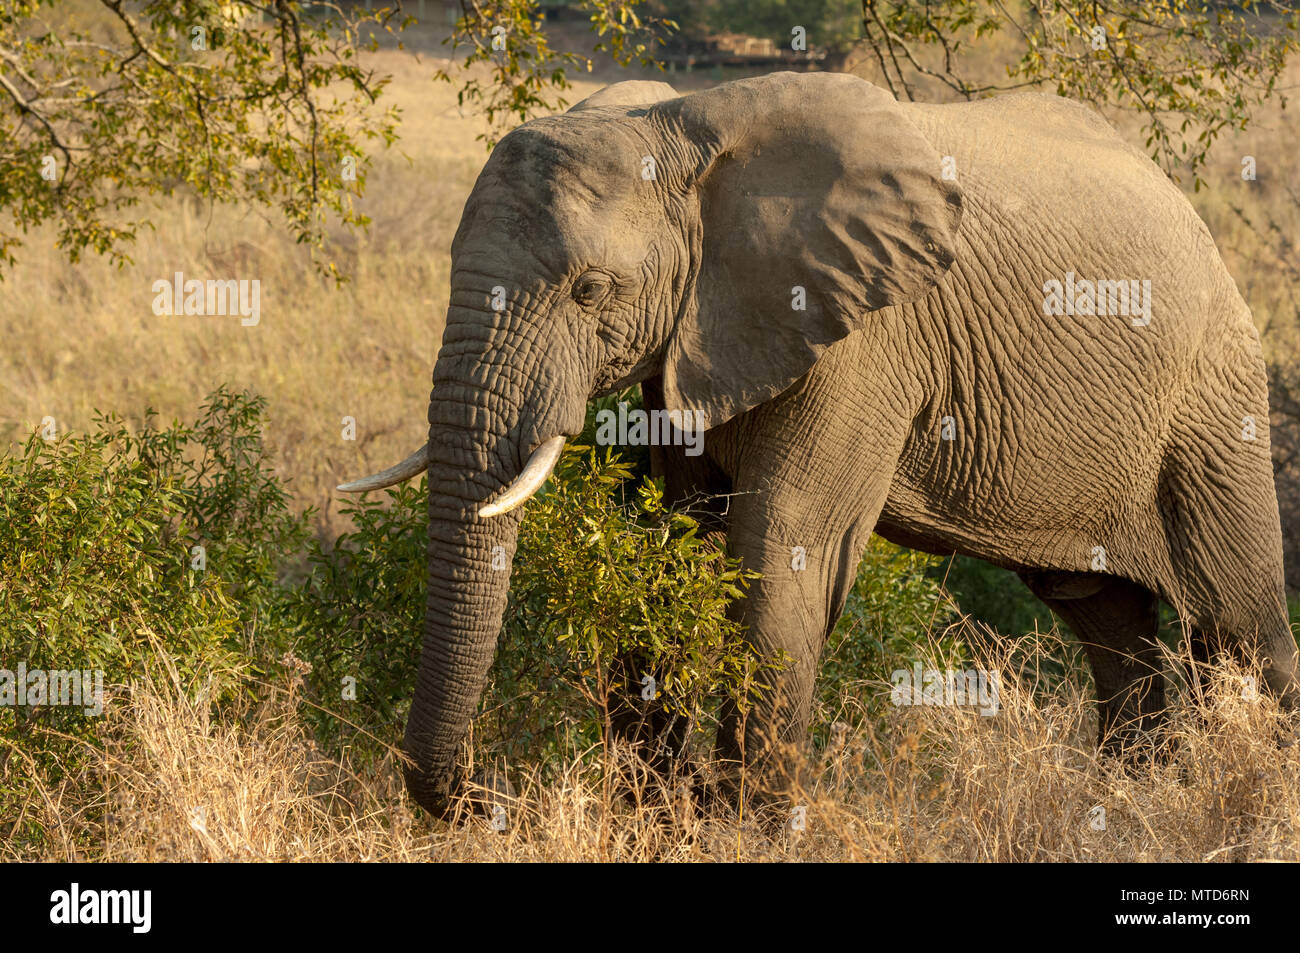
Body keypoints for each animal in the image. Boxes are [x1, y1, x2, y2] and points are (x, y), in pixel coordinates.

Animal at [339, 71, 1300, 817]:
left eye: (590, 290)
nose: (491, 798)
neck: (676, 127)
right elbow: (668, 539)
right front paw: (661, 811)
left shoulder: (865, 337)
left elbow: (784, 544)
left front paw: (747, 824)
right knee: (1107, 620)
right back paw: (1135, 797)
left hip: (1212, 400)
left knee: (1238, 621)